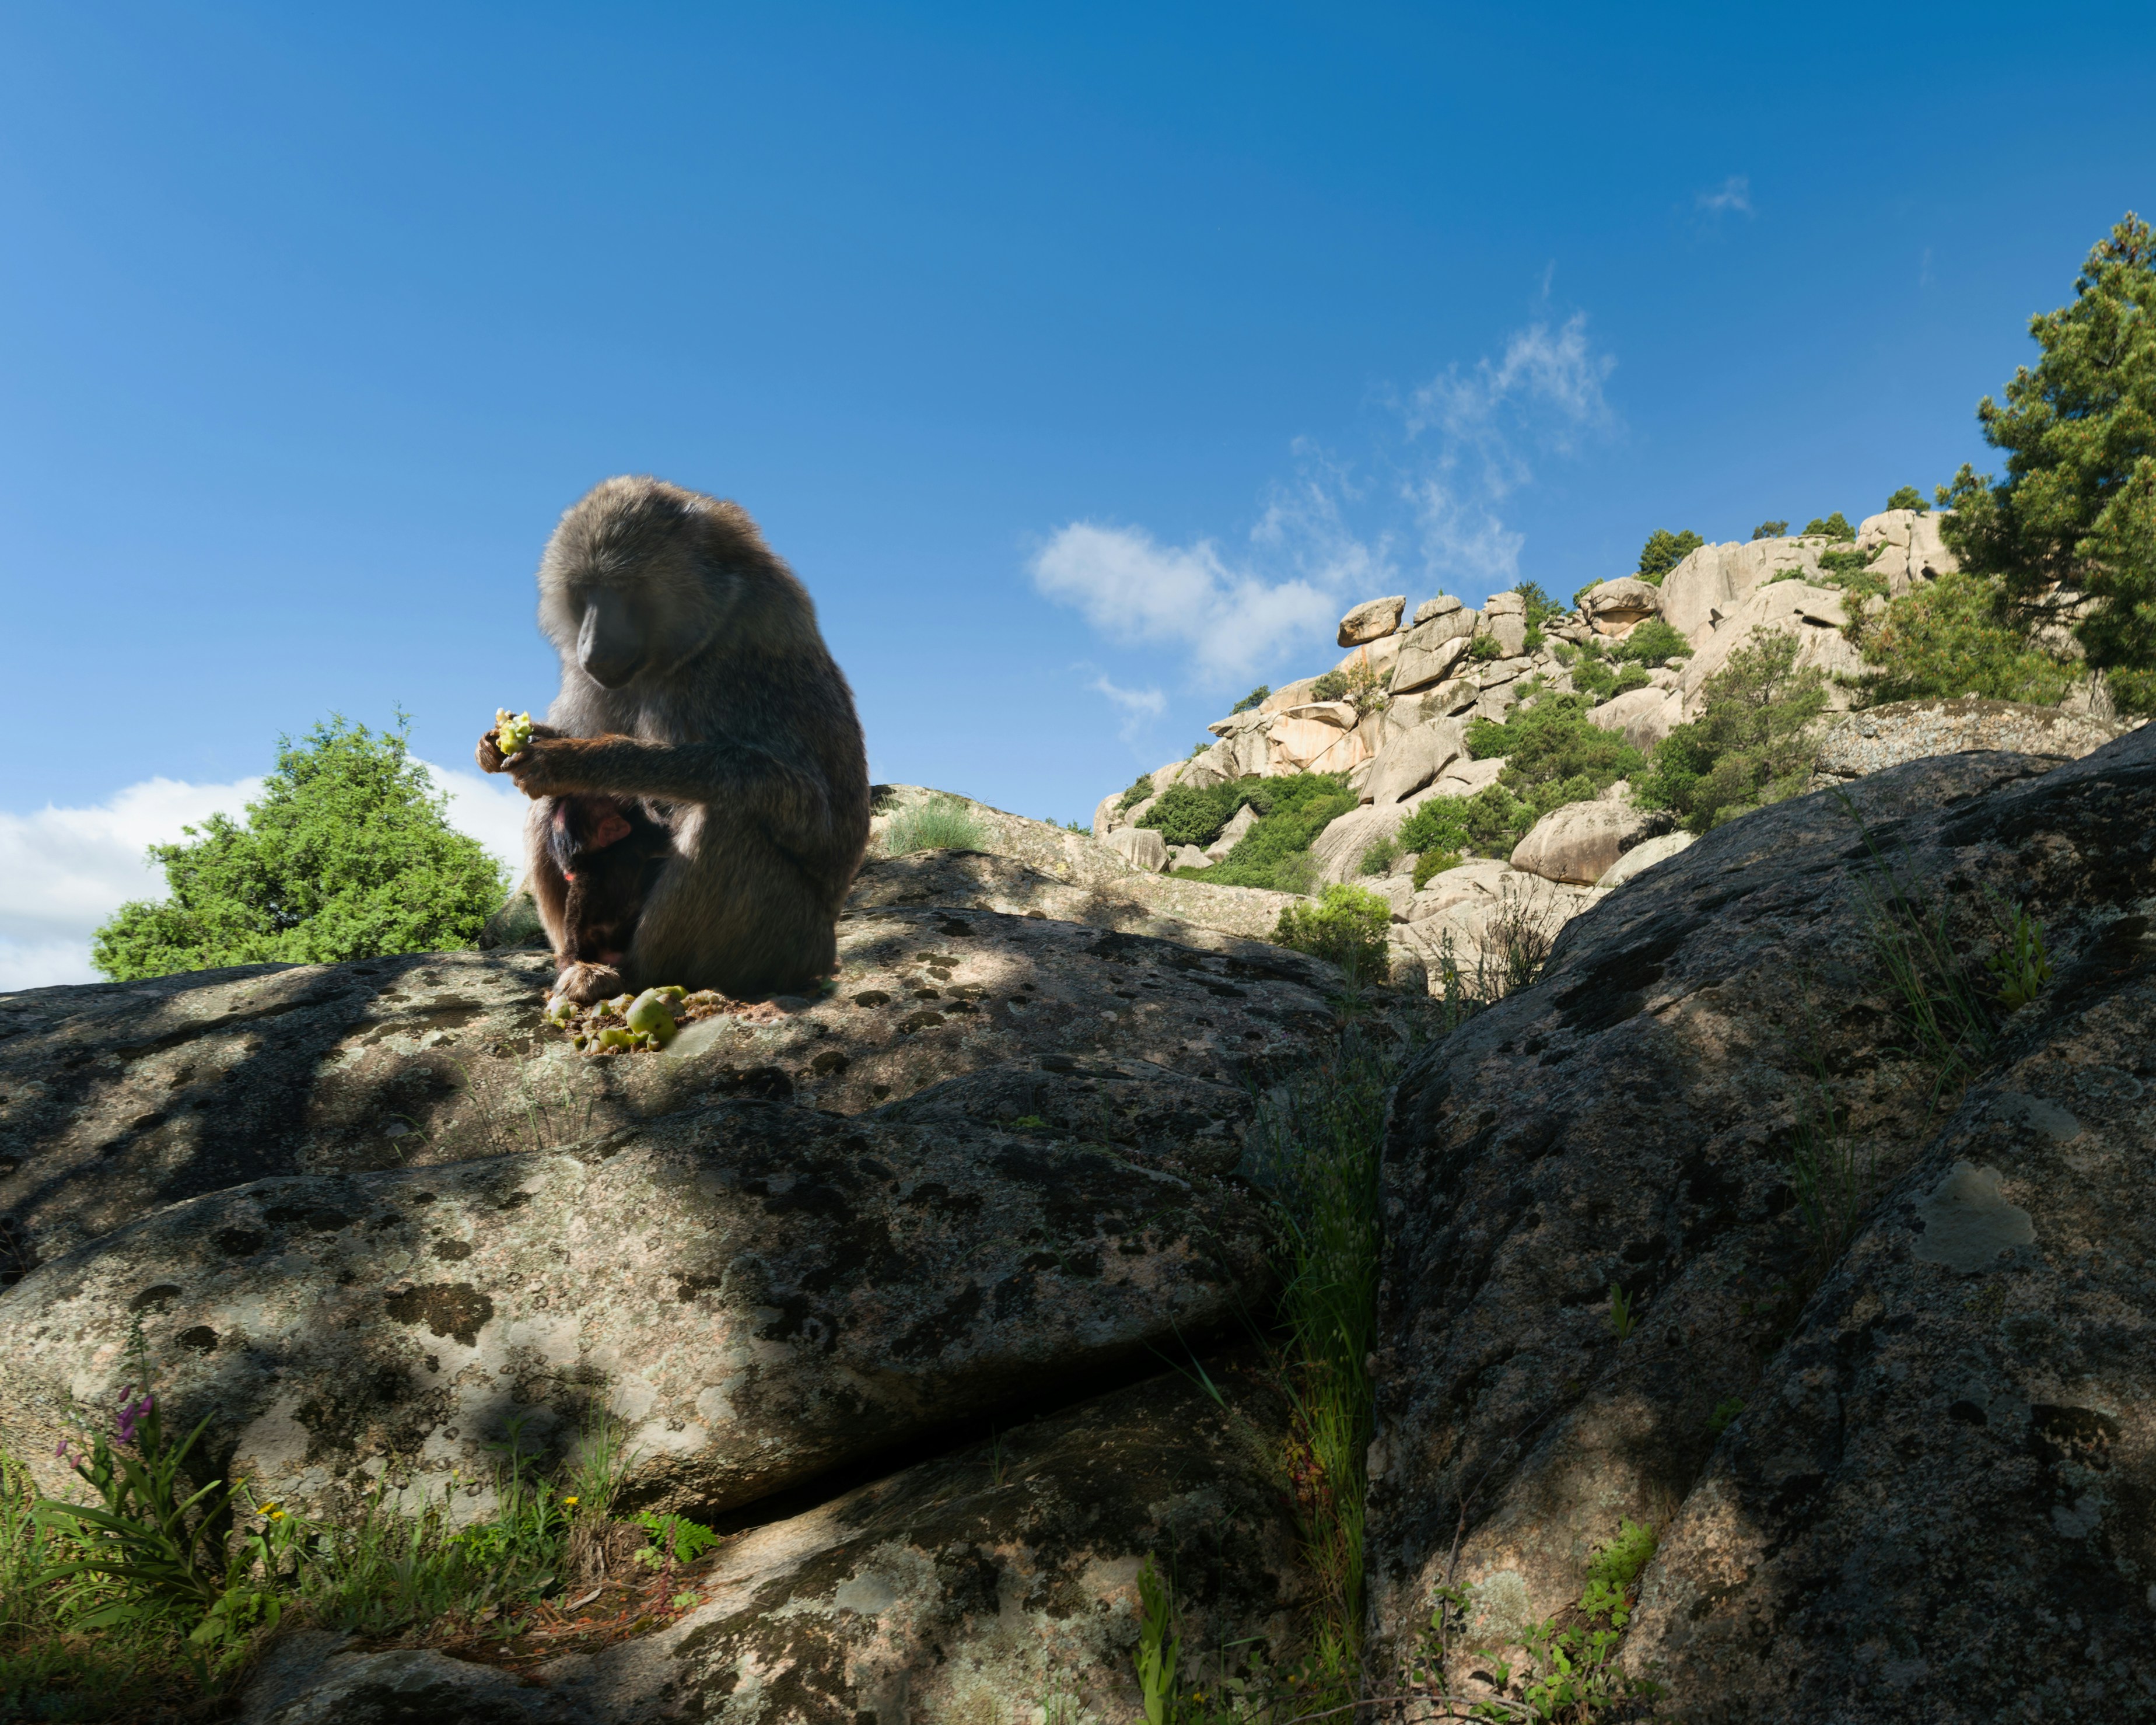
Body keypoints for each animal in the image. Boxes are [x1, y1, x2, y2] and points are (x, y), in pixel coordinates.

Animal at [477, 477, 871, 1005]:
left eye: (622, 589)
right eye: (584, 593)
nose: (588, 650)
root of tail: (825, 952)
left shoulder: (755, 643)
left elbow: (812, 807)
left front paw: (582, 759)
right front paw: (507, 741)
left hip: (794, 943)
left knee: (725, 814)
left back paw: (640, 975)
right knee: (547, 807)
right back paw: (582, 964)